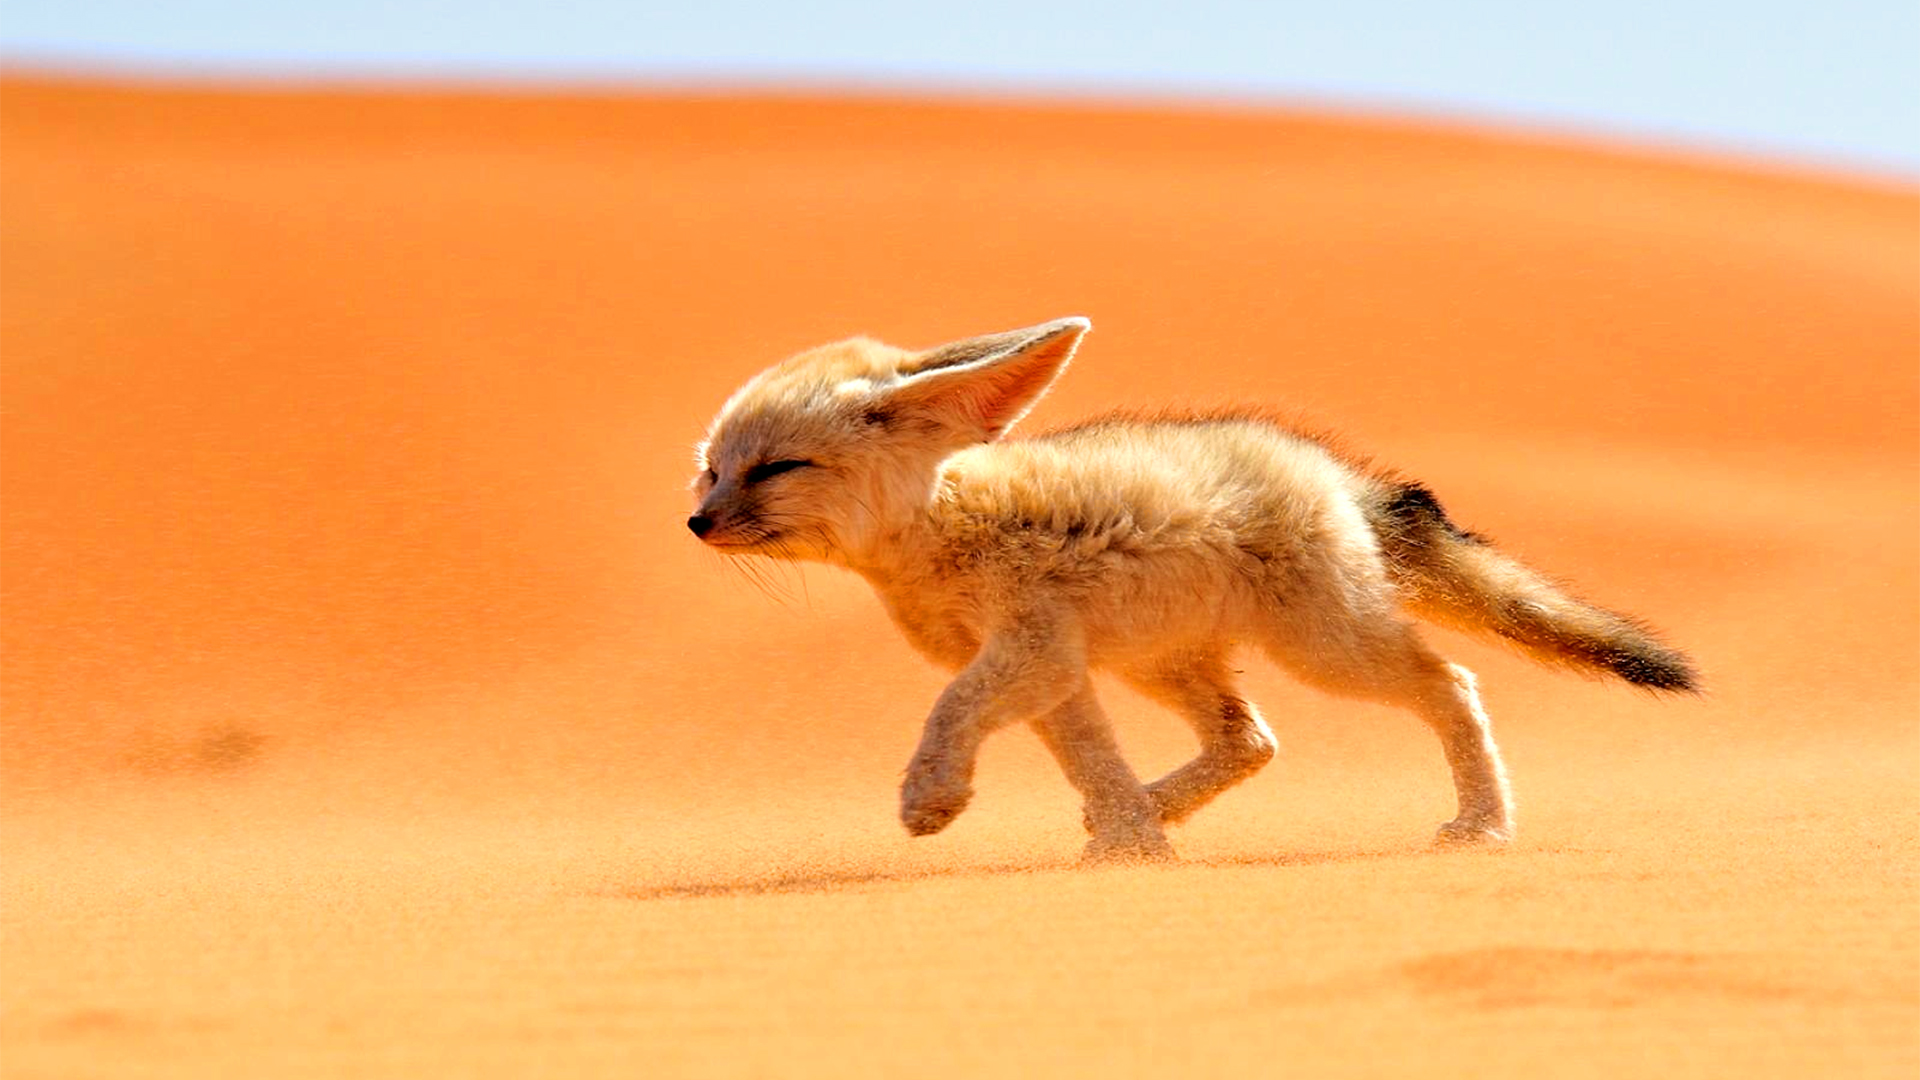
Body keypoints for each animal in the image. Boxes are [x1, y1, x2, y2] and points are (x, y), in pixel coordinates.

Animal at [688, 317, 1697, 861]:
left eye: (776, 469)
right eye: (712, 471)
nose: (696, 523)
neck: (942, 527)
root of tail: (1332, 471)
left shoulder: (1028, 651)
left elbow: (949, 710)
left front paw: (931, 797)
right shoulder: (1056, 670)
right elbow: (1089, 759)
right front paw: (1132, 843)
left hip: (1327, 651)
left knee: (1451, 683)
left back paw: (1484, 824)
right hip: (1163, 663)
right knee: (1250, 740)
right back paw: (1150, 809)